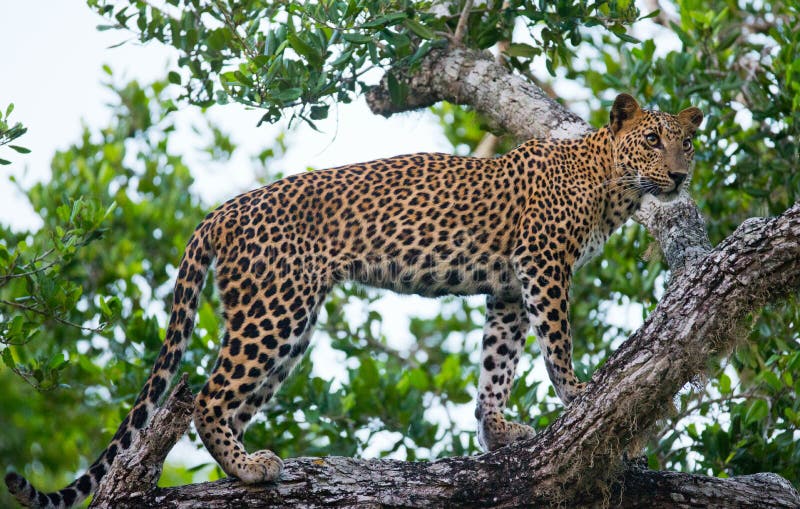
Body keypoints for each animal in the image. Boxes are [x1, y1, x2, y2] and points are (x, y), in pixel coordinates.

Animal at [6, 94, 703, 508]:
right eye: (650, 139)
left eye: (686, 141)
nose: (678, 176)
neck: (613, 184)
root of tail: (223, 209)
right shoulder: (543, 263)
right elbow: (556, 340)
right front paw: (580, 394)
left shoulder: (508, 287)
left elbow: (496, 362)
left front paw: (498, 430)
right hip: (276, 310)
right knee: (206, 395)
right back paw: (247, 469)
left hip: (281, 320)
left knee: (225, 397)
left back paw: (248, 465)